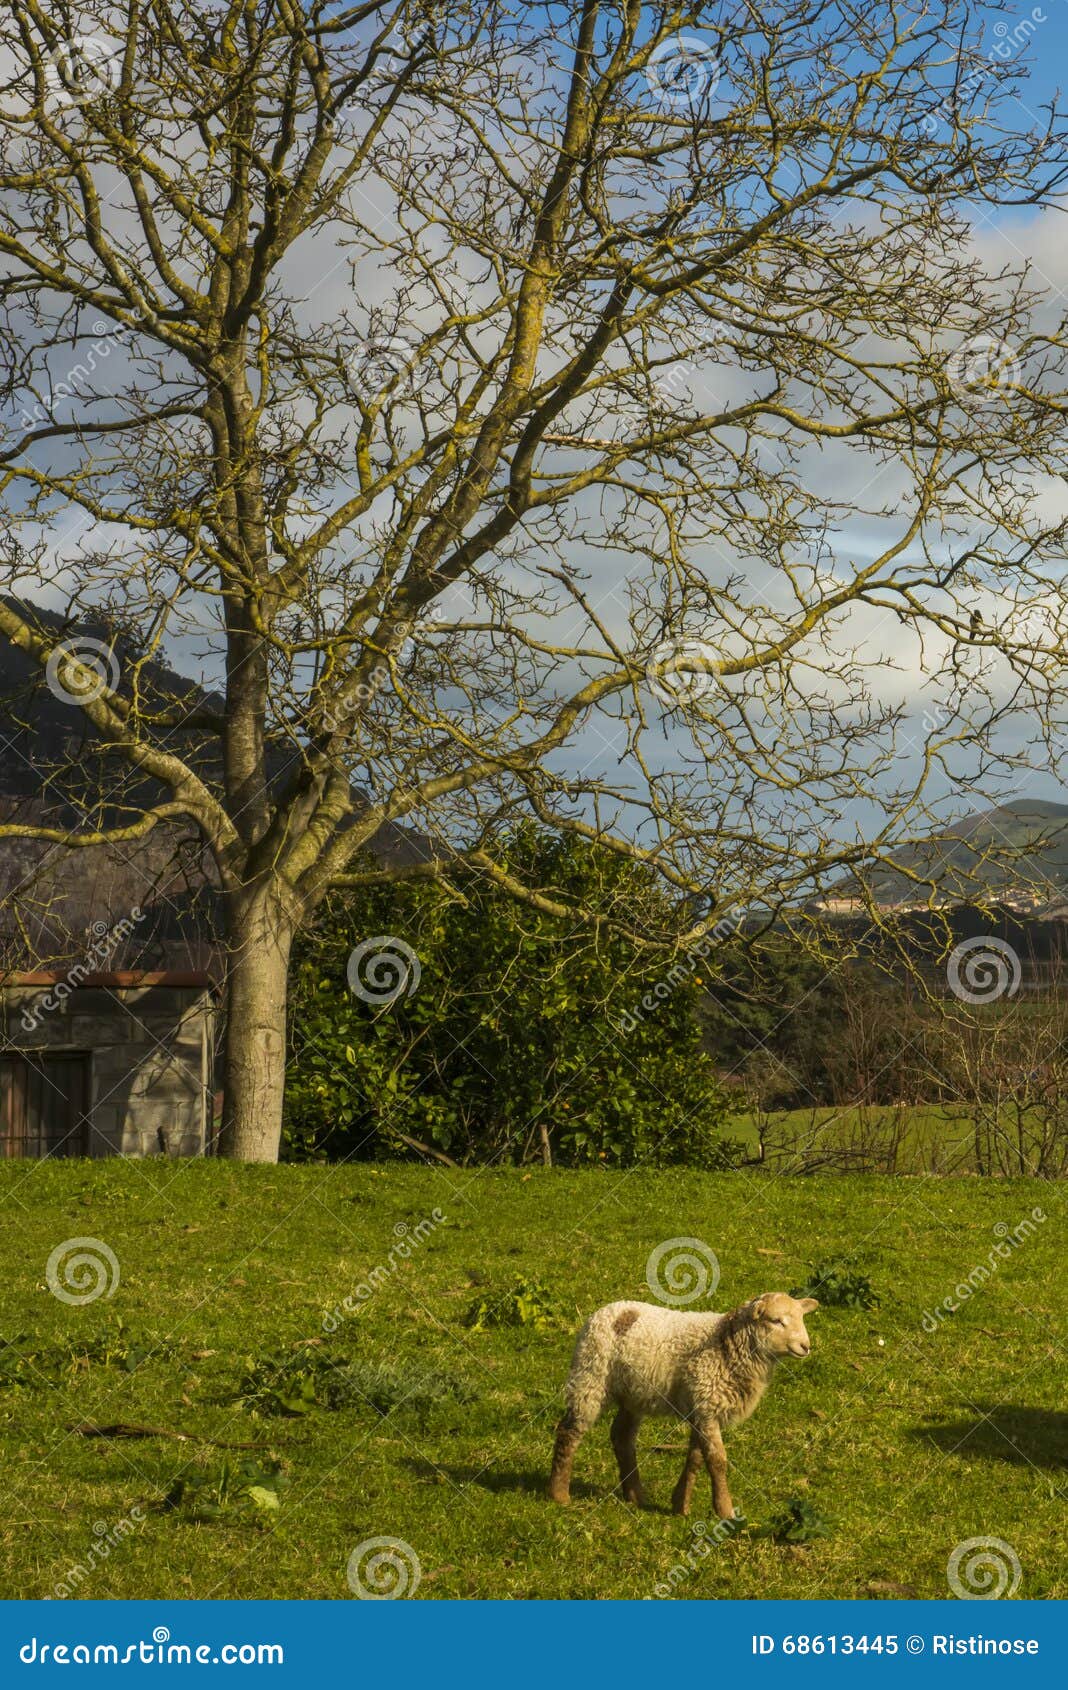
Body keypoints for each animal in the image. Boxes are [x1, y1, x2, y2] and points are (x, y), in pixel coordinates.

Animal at [547, 1291, 819, 1517]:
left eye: (801, 1318)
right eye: (776, 1321)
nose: (805, 1346)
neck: (727, 1344)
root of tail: (608, 1310)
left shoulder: (702, 1409)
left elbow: (696, 1458)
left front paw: (681, 1505)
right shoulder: (706, 1406)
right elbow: (717, 1461)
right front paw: (725, 1510)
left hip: (632, 1394)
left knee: (622, 1437)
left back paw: (635, 1495)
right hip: (591, 1375)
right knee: (569, 1430)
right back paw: (559, 1494)